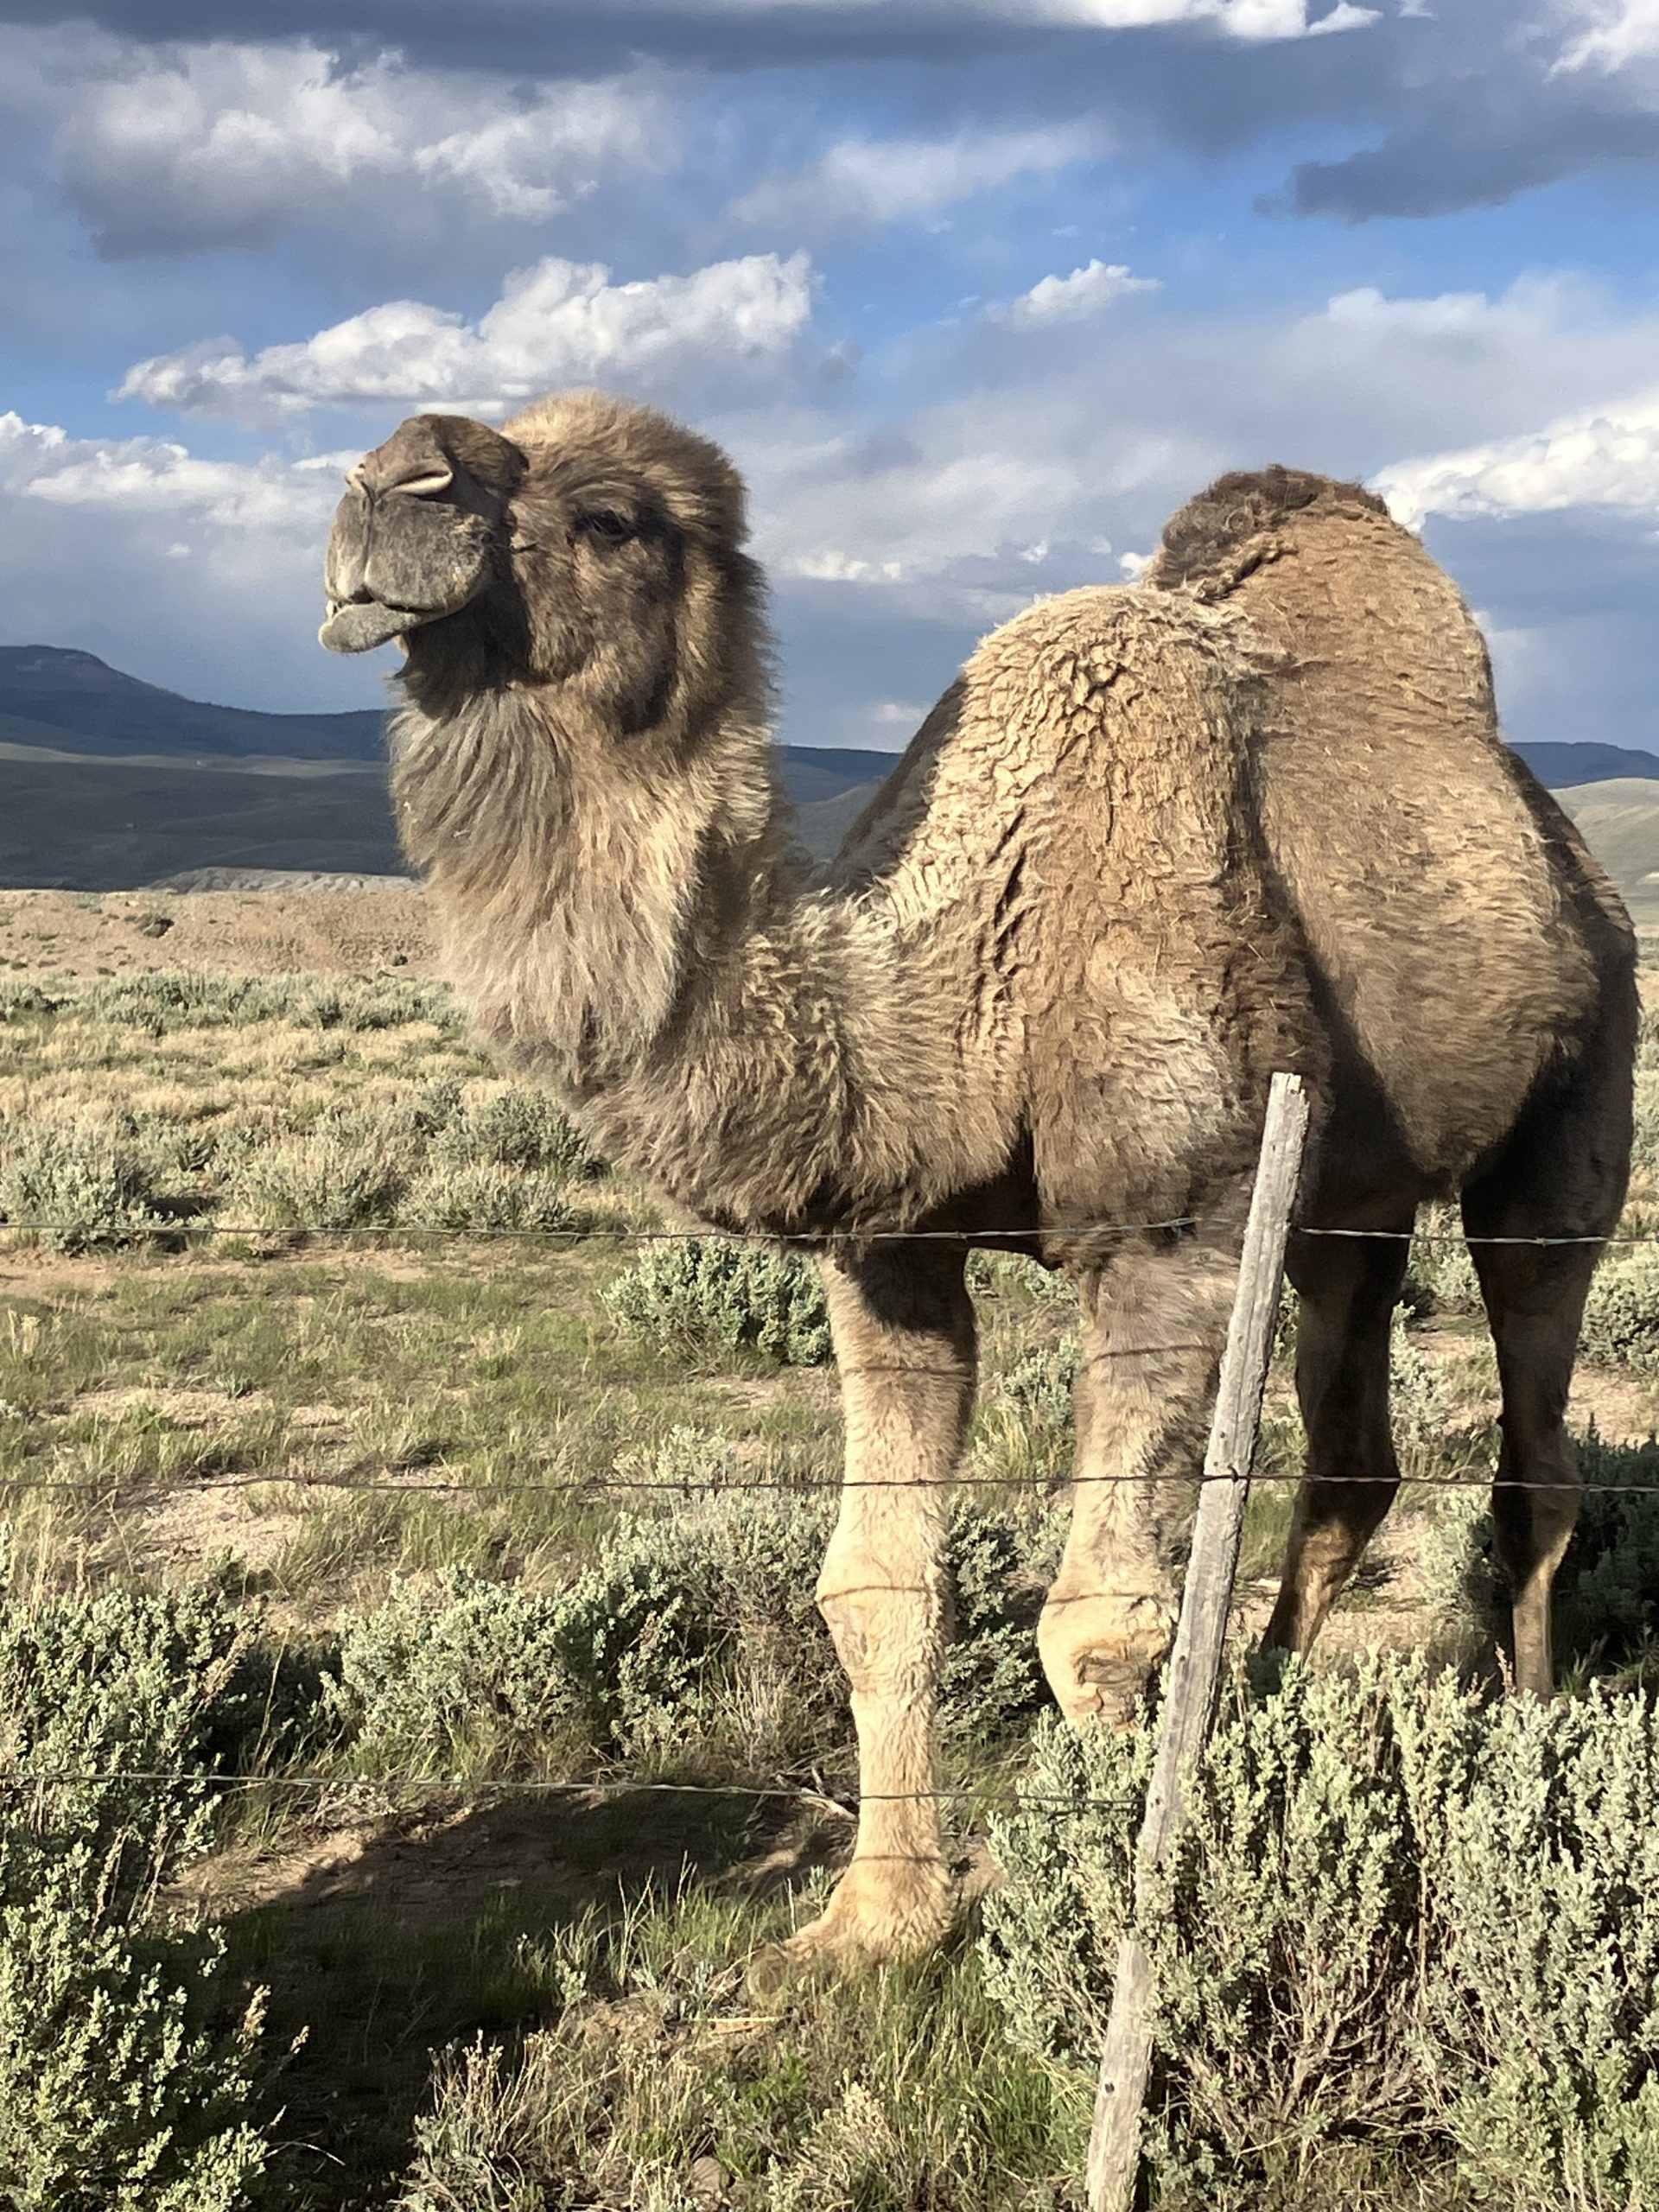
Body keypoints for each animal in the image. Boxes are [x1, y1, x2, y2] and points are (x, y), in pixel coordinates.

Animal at [320, 393, 1635, 1972]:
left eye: (614, 519)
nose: (392, 488)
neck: (956, 1003)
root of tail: (1569, 857)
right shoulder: (889, 1256)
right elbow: (878, 1586)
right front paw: (879, 1919)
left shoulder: (1172, 1234)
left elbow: (1102, 1620)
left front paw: (1141, 1935)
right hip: (1347, 1200)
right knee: (1353, 1452)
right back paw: (1264, 1707)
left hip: (1571, 1120)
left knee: (1535, 1440)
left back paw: (1537, 1738)